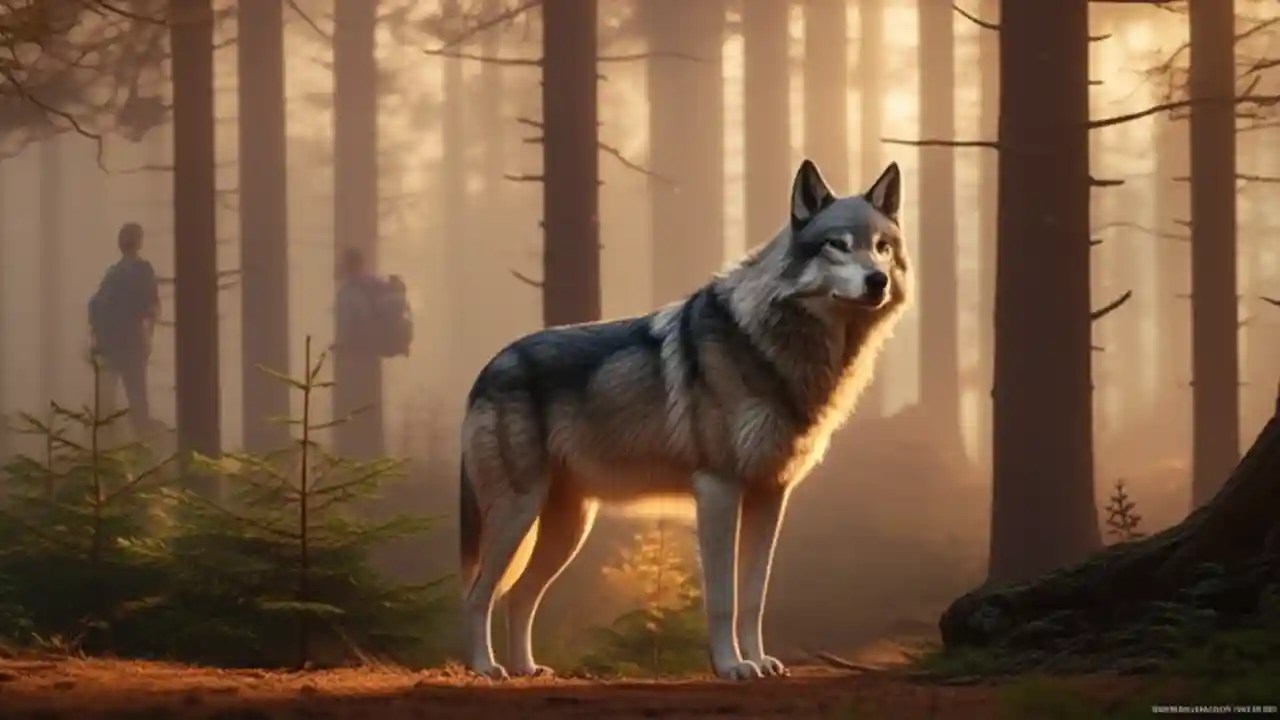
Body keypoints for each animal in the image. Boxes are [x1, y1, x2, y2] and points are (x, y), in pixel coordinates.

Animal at [458, 158, 912, 680]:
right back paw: (485, 668)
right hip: (517, 514)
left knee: (518, 595)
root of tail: (487, 368)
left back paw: (526, 669)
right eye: (837, 243)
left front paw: (758, 660)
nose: (877, 281)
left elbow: (754, 596)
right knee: (477, 594)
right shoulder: (717, 490)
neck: (772, 348)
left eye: (882, 247)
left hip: (568, 528)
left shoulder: (770, 495)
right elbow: (722, 597)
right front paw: (732, 666)